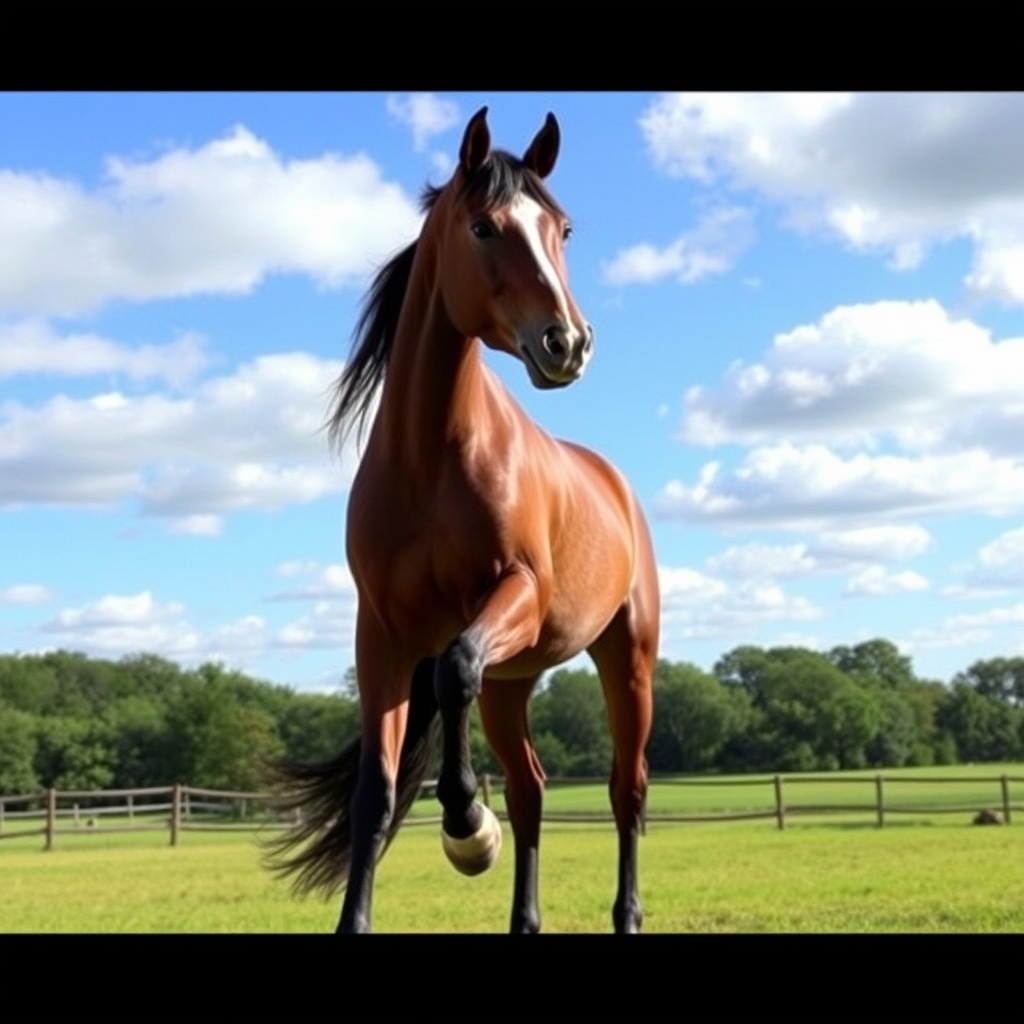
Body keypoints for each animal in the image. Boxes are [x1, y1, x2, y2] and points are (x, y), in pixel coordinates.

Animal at [269, 107, 659, 933]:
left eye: (562, 228)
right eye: (483, 227)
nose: (567, 342)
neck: (431, 460)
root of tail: (614, 482)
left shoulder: (514, 596)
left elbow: (451, 672)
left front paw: (466, 824)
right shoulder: (382, 636)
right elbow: (376, 795)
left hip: (627, 658)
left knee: (626, 790)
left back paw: (624, 911)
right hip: (515, 681)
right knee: (533, 786)